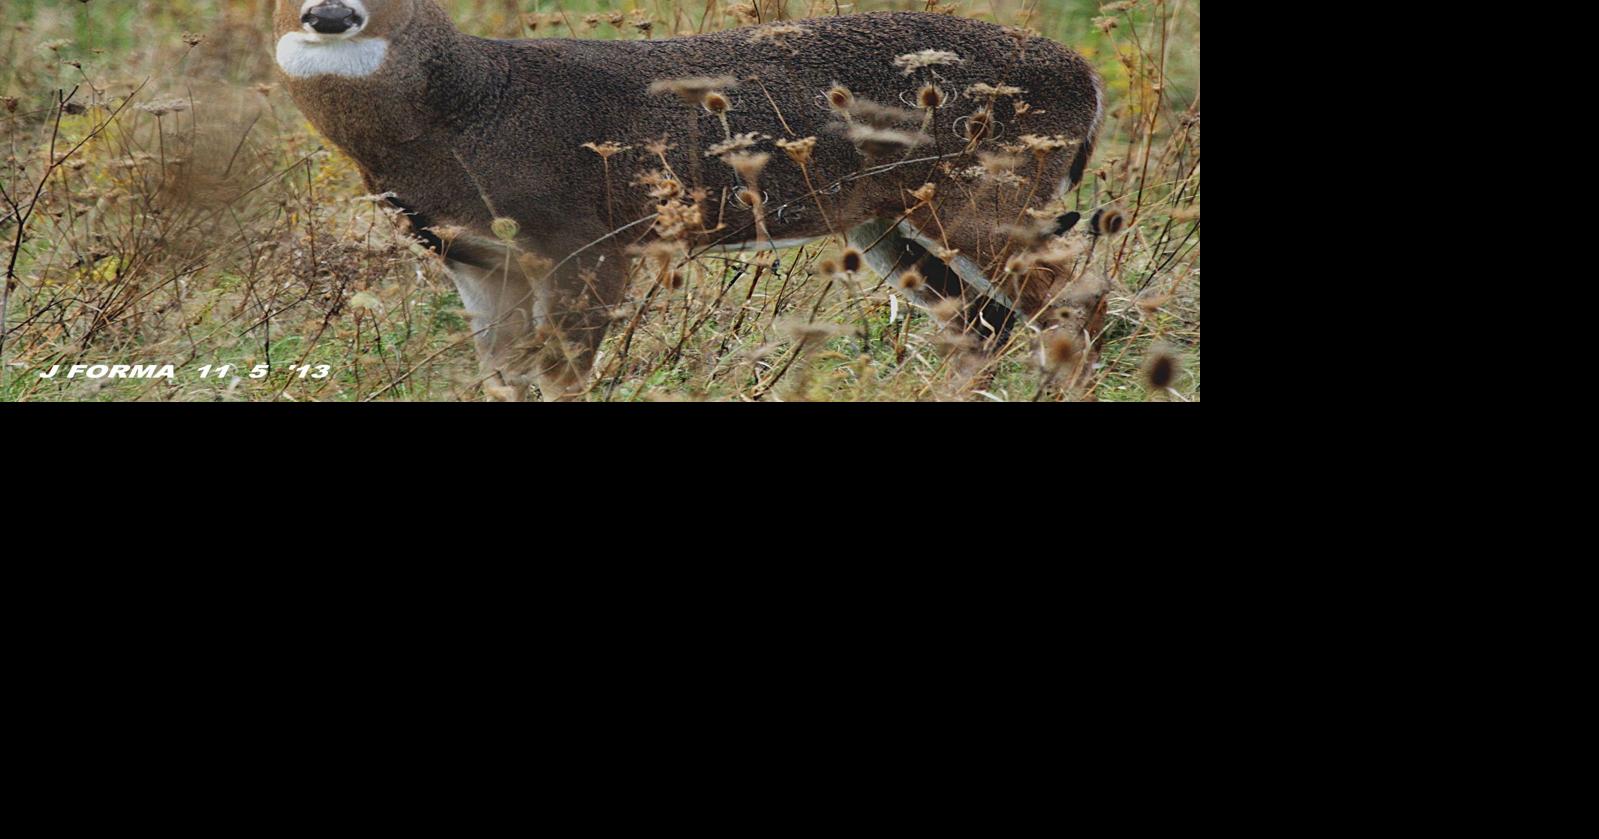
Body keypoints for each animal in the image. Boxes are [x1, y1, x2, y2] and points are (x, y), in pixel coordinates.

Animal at [273, 1, 1104, 400]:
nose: (329, 13)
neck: (459, 113)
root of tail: (1089, 79)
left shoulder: (588, 237)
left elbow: (562, 376)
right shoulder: (476, 259)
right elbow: (503, 377)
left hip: (992, 193)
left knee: (1076, 308)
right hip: (887, 219)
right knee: (985, 324)